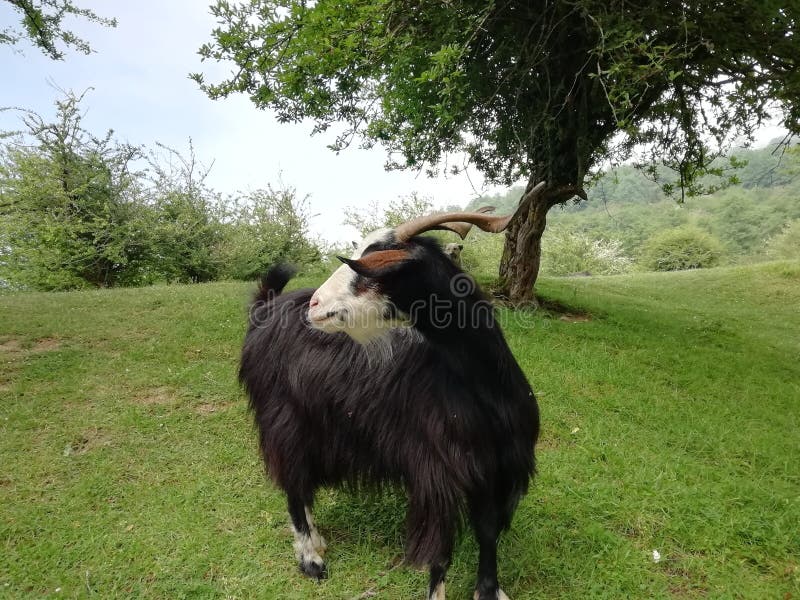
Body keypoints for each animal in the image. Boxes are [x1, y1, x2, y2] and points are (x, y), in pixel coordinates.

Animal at [239, 208, 539, 600]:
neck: (488, 392)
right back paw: (311, 560)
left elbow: (487, 533)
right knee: (292, 483)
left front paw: (489, 591)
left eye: (372, 268)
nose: (316, 305)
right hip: (283, 417)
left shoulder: (496, 471)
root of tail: (265, 310)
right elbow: (440, 552)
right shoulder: (435, 472)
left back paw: (317, 541)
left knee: (301, 484)